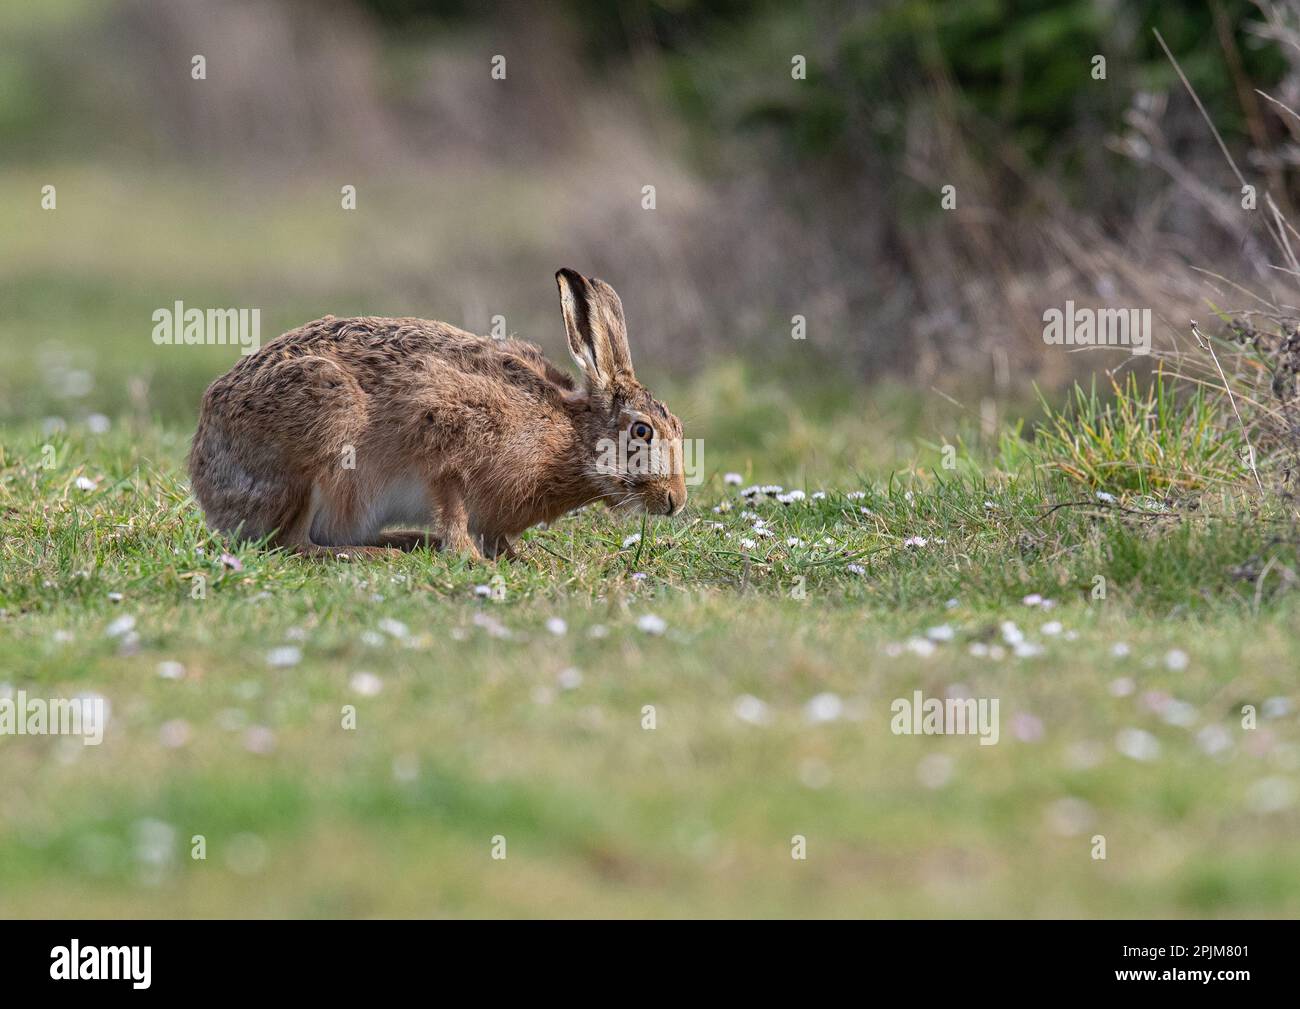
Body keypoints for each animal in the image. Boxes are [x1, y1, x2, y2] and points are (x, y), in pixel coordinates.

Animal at [188, 268, 688, 561]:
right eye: (642, 431)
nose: (676, 501)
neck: (570, 433)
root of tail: (205, 474)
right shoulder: (445, 434)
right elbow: (453, 507)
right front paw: (471, 558)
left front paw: (517, 558)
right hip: (324, 427)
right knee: (292, 544)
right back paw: (383, 554)